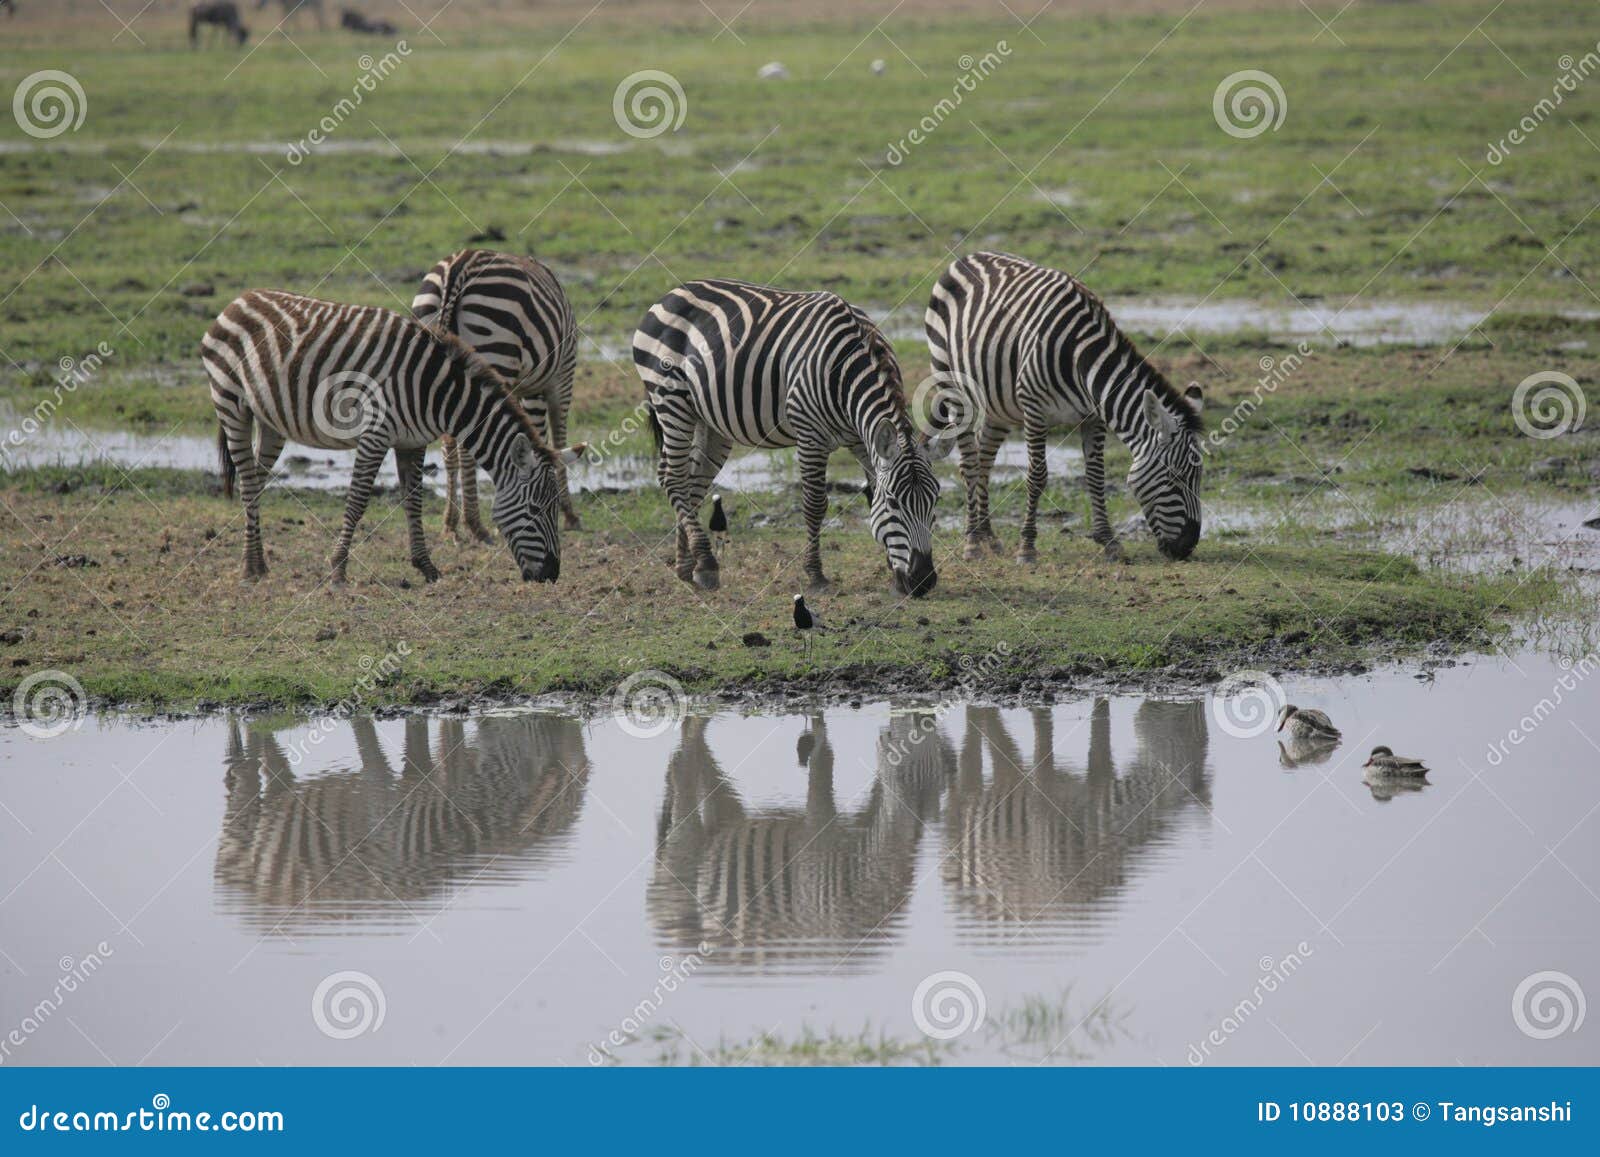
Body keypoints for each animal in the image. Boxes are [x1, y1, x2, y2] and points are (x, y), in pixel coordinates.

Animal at [202, 289, 580, 585]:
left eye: (553, 509)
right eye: (535, 509)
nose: (551, 574)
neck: (436, 391)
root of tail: (240, 299)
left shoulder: (412, 441)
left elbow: (414, 501)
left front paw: (426, 567)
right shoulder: (375, 434)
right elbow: (358, 501)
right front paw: (338, 569)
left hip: (271, 422)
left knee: (256, 480)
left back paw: (260, 562)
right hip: (232, 404)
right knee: (247, 480)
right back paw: (251, 567)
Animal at [411, 249, 581, 540]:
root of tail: (458, 265)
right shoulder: (559, 377)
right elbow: (557, 438)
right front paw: (569, 514)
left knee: (449, 443)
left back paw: (451, 523)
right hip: (496, 344)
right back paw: (474, 524)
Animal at [634, 278, 947, 596]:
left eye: (936, 499)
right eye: (894, 502)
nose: (923, 580)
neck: (847, 371)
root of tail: (673, 293)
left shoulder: (863, 439)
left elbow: (872, 493)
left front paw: (893, 571)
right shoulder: (810, 436)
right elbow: (815, 504)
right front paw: (815, 574)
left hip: (709, 422)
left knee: (691, 483)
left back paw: (689, 566)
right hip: (671, 400)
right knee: (673, 477)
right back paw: (706, 563)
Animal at [925, 251, 1205, 562]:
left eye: (1198, 478)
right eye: (1175, 476)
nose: (1187, 547)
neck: (1082, 361)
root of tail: (966, 257)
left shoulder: (1093, 417)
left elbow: (1096, 476)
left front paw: (1108, 541)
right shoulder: (1035, 409)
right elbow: (1037, 477)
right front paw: (1027, 547)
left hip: (1000, 405)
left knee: (984, 459)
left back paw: (989, 537)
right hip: (951, 383)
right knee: (970, 464)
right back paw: (973, 542)